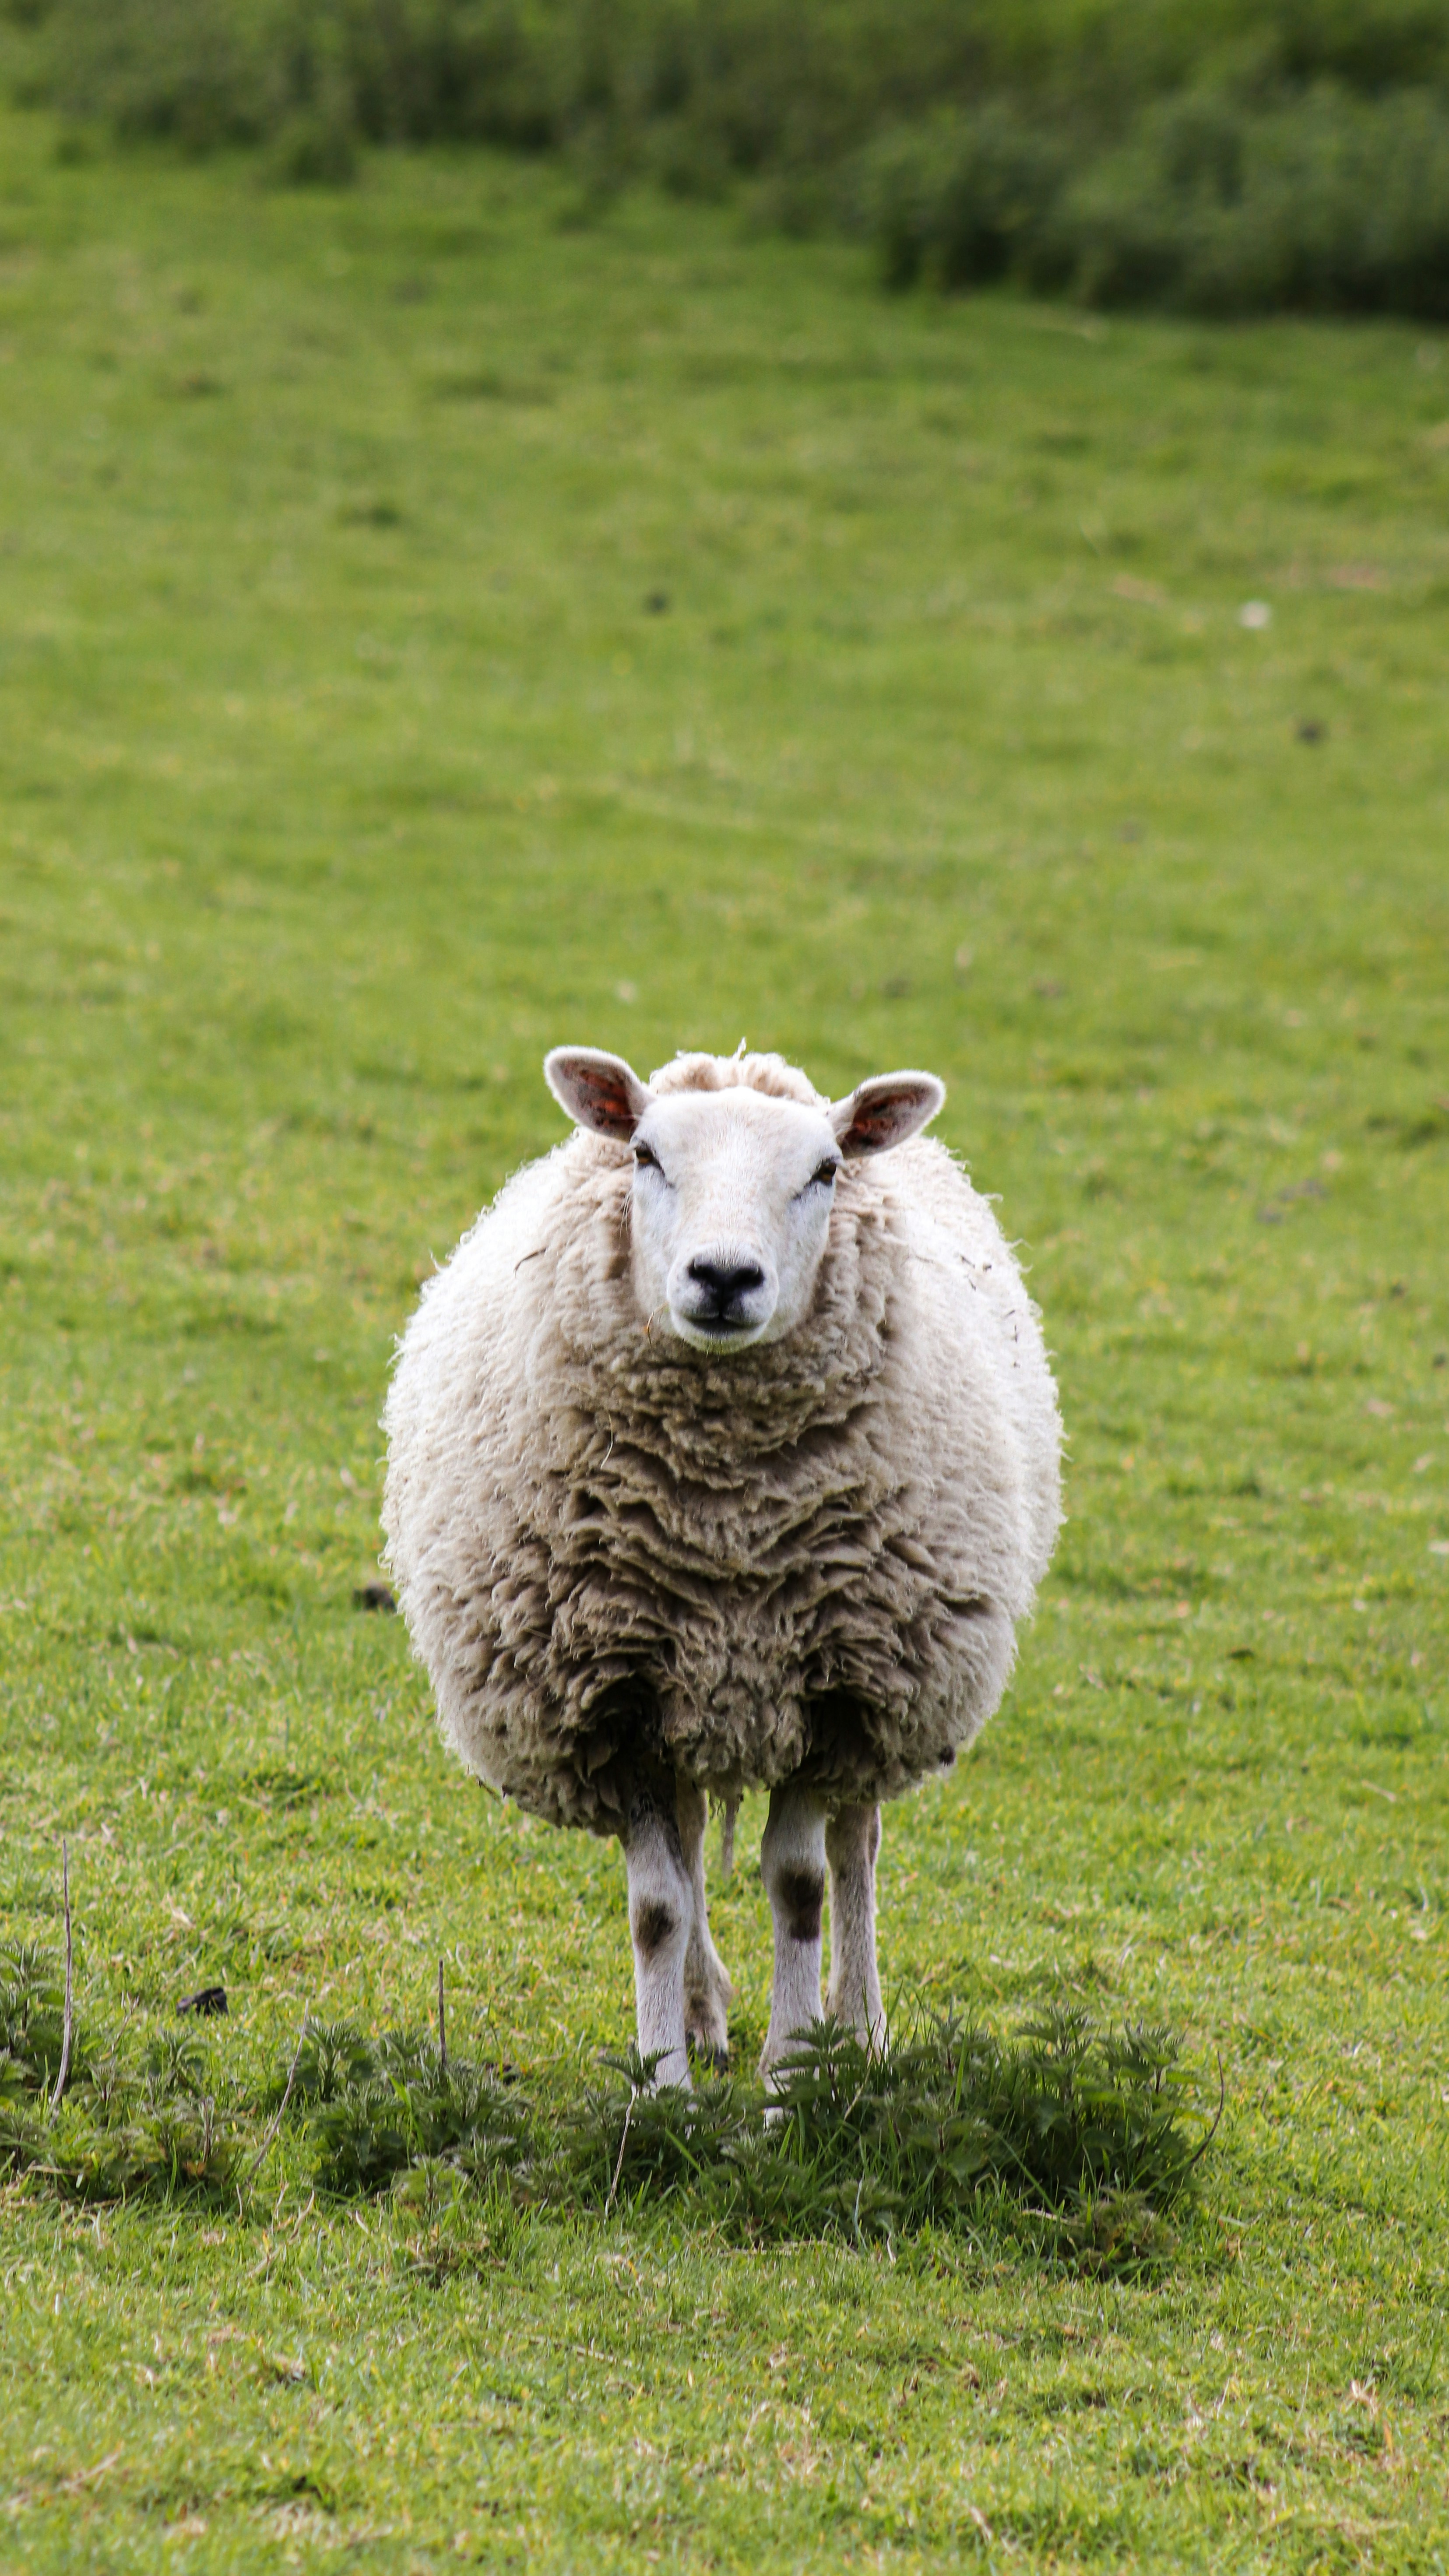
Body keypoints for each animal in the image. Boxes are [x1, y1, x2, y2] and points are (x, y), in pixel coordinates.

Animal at [382, 1046, 1061, 2087]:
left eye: (825, 1168)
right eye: (646, 1155)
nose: (724, 1275)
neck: (725, 1521)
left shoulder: (837, 1689)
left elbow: (801, 1885)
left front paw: (794, 2073)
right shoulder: (611, 1694)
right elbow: (658, 1907)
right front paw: (663, 2085)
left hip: (890, 1683)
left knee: (857, 1846)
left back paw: (859, 2024)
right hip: (685, 1696)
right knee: (696, 1839)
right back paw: (703, 2015)